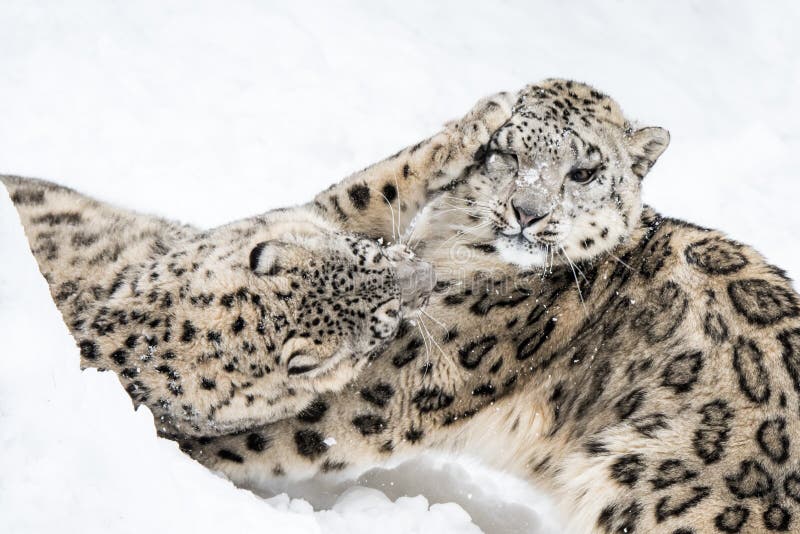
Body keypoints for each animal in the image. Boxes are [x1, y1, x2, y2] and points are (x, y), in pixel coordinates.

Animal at [178, 79, 800, 534]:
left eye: (584, 171)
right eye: (505, 152)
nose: (527, 209)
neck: (451, 249)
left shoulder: (409, 372)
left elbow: (279, 430)